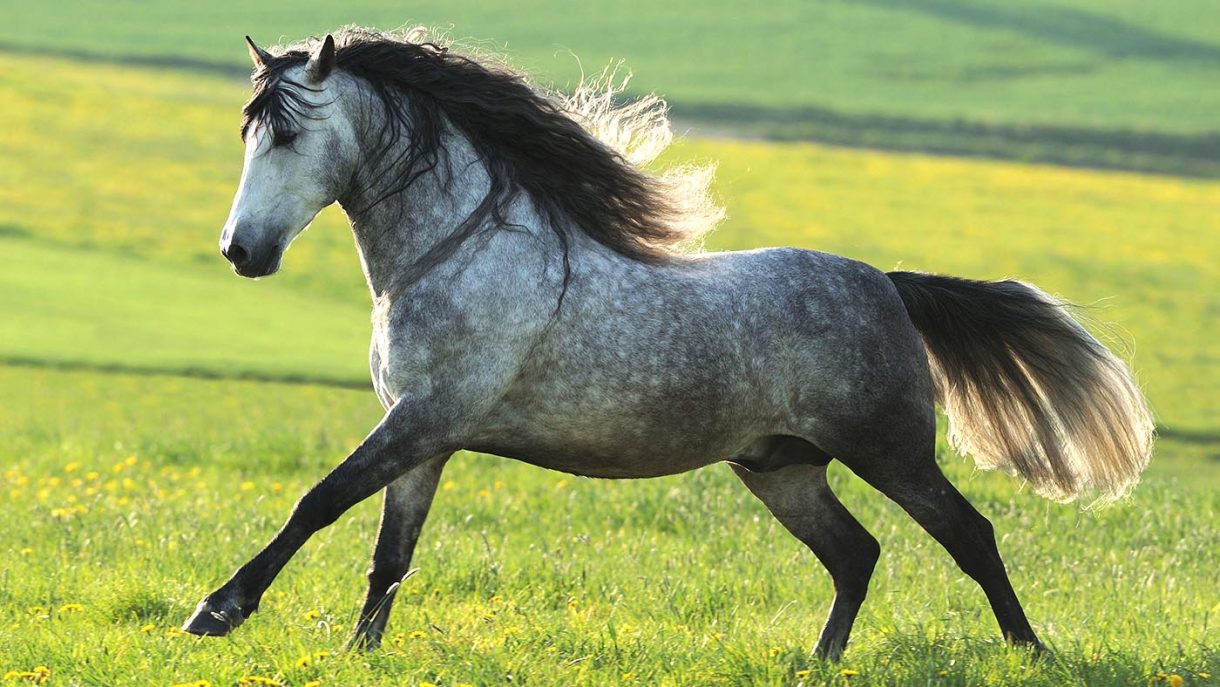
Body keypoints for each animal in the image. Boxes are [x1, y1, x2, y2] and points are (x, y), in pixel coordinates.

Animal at [182, 28, 1154, 659]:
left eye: (289, 132)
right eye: (248, 131)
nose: (241, 252)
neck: (455, 252)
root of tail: (886, 283)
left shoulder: (426, 419)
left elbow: (317, 501)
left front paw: (218, 608)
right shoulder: (424, 438)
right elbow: (388, 555)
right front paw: (358, 651)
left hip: (889, 450)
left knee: (969, 535)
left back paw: (1030, 651)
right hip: (780, 467)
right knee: (857, 554)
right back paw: (818, 662)